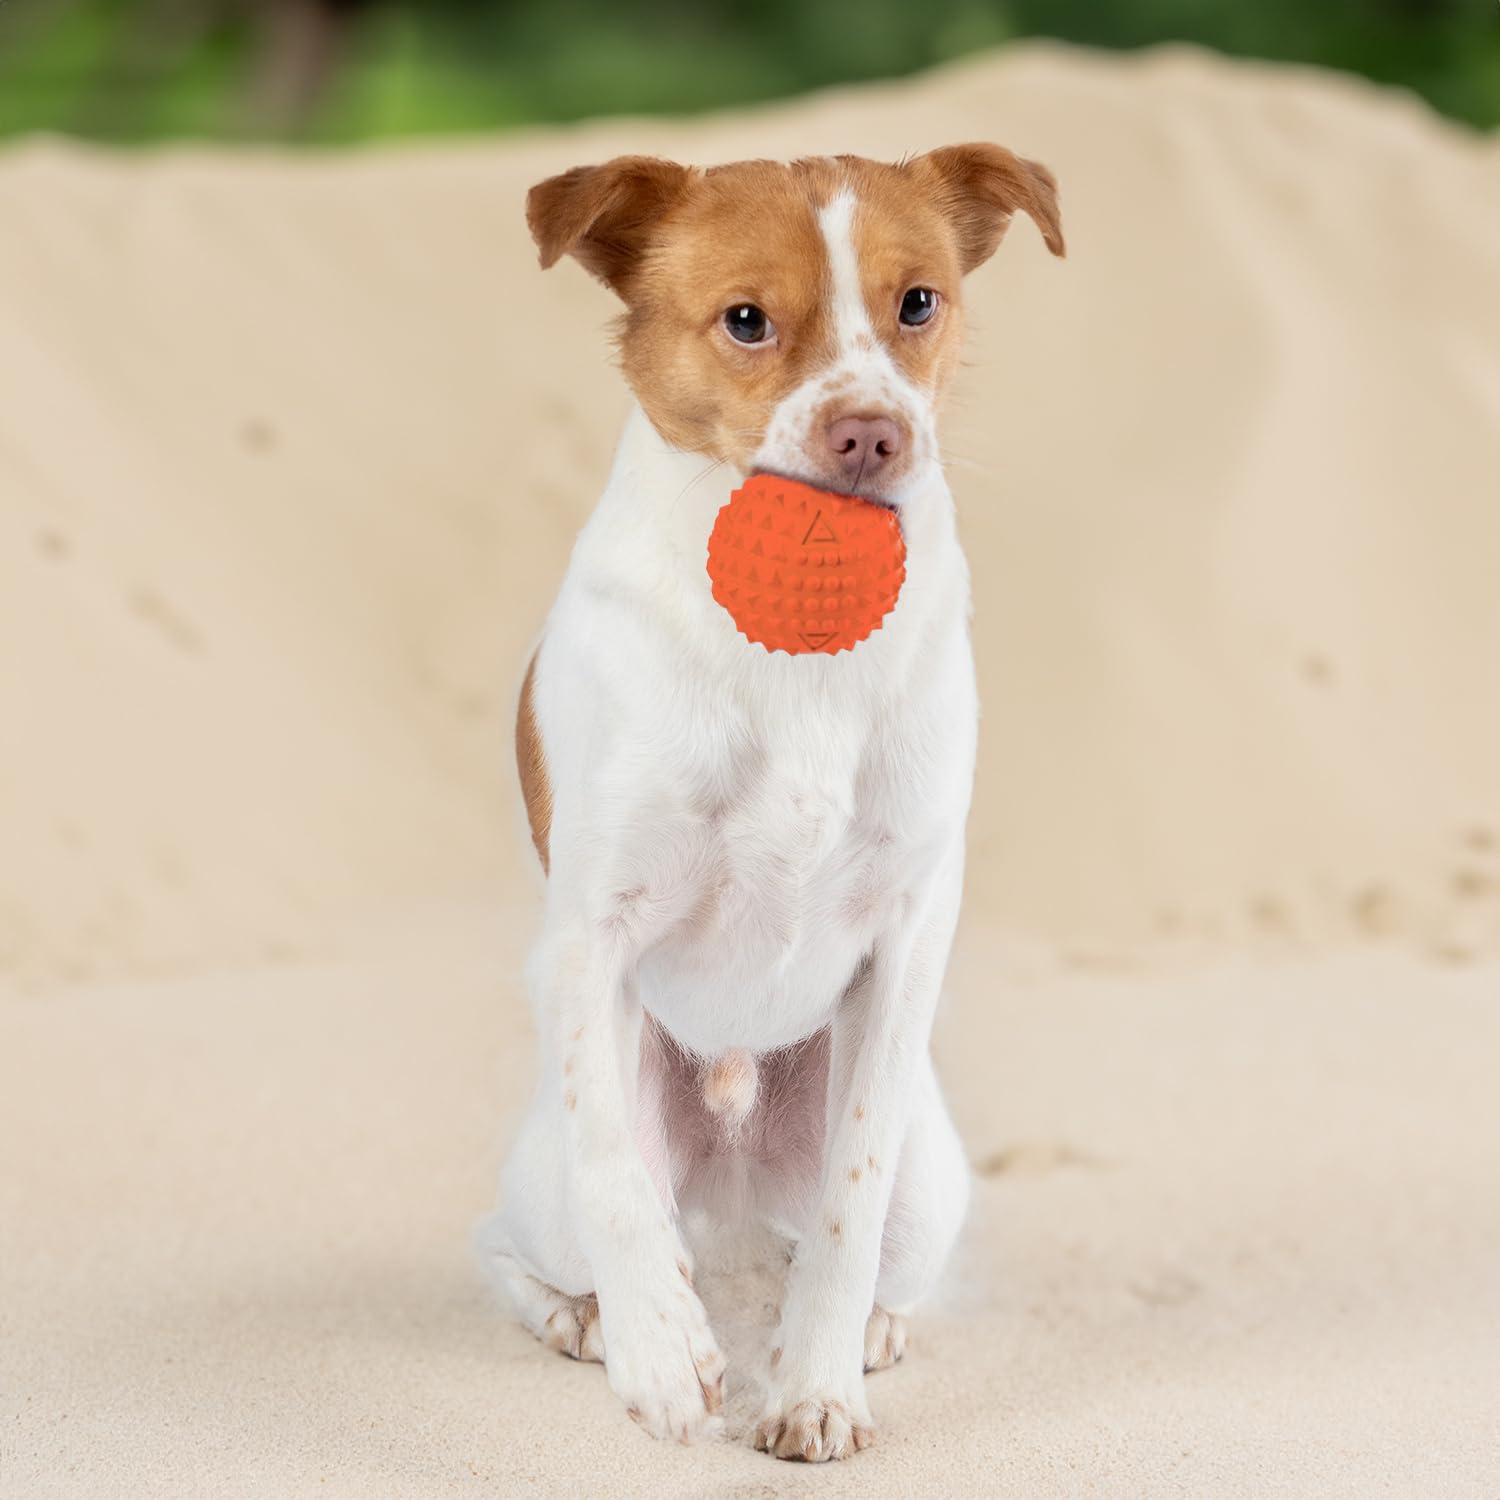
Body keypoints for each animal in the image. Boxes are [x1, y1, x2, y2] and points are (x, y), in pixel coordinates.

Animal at [477, 146, 1056, 1458]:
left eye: (919, 303)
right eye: (746, 320)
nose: (873, 431)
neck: (798, 653)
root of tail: (732, 1205)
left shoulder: (906, 944)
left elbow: (849, 1204)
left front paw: (815, 1386)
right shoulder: (589, 938)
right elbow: (614, 1178)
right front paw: (655, 1353)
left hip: (933, 1187)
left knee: (860, 1249)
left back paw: (854, 1327)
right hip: (538, 1190)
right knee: (538, 1246)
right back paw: (596, 1315)